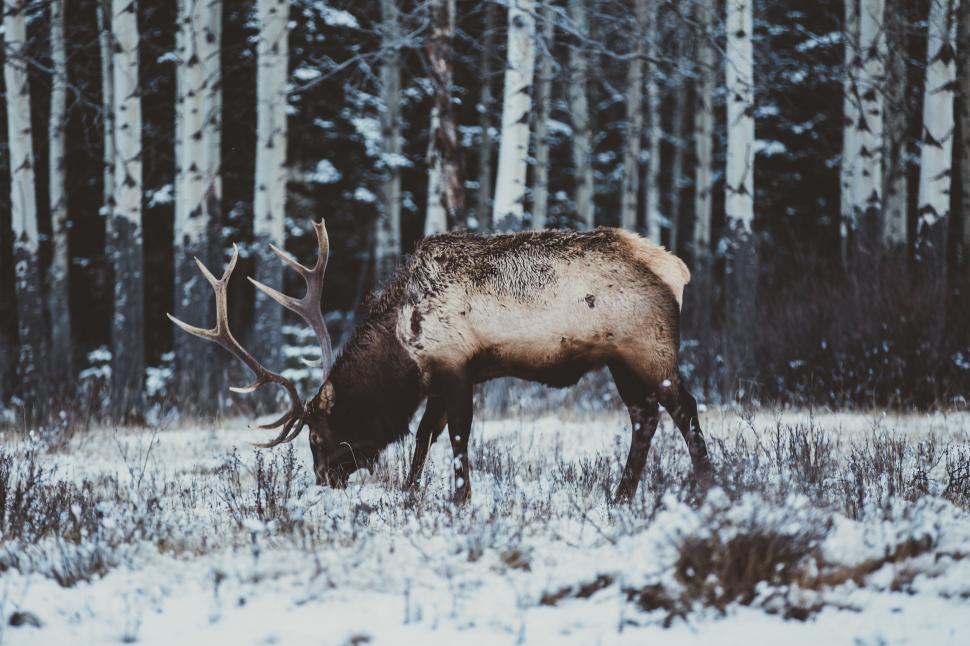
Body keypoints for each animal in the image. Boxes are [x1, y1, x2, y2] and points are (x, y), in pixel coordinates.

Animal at [169, 220, 713, 503]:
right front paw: (411, 493)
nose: (325, 481)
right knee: (645, 417)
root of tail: (678, 270)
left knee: (684, 408)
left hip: (649, 348)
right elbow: (424, 435)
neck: (401, 344)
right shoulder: (437, 377)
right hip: (620, 361)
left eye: (319, 436)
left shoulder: (456, 366)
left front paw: (459, 496)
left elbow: (455, 435)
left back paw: (706, 483)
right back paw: (621, 494)